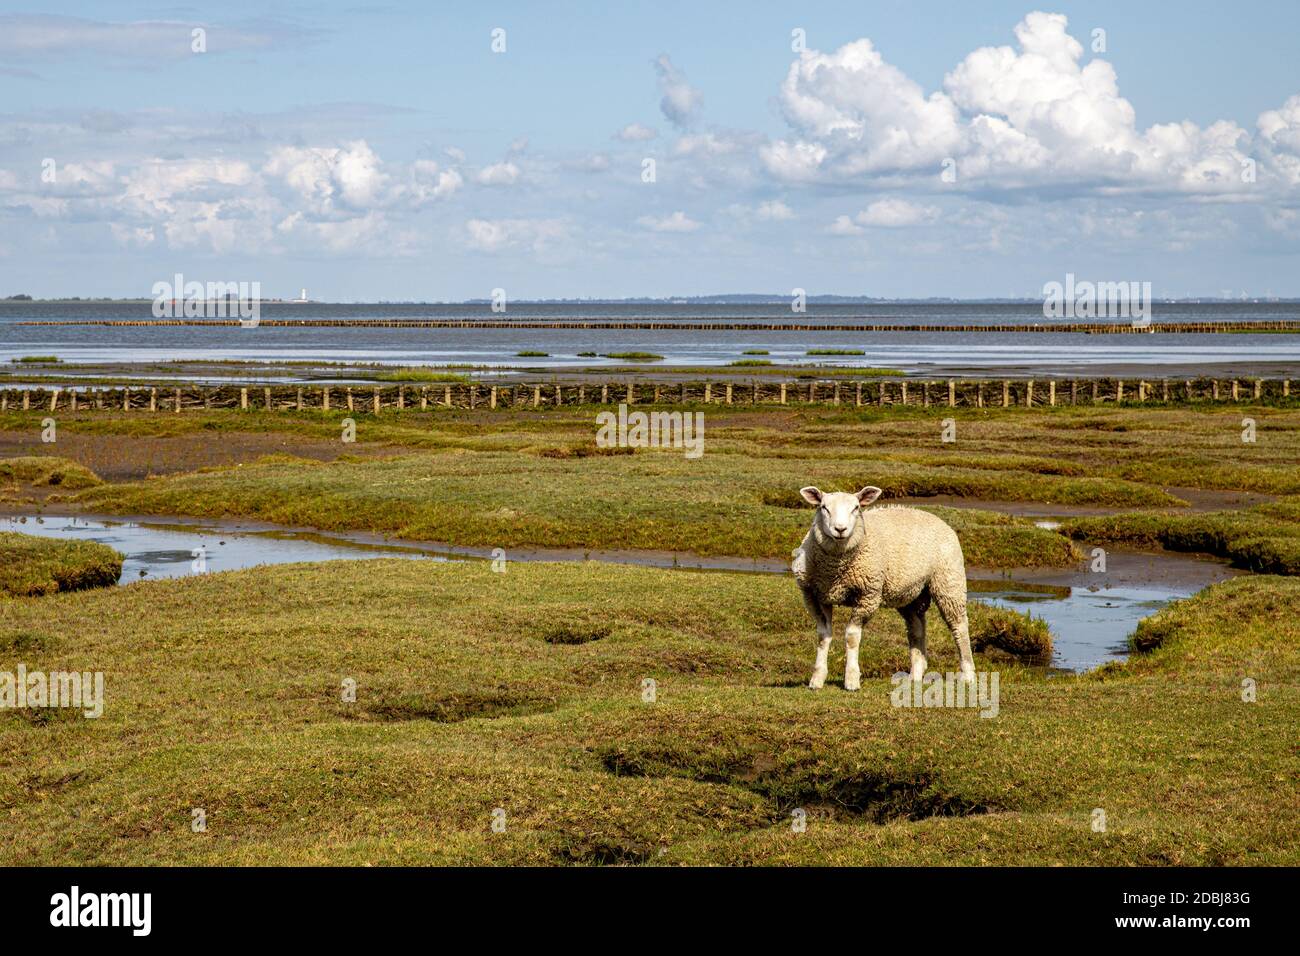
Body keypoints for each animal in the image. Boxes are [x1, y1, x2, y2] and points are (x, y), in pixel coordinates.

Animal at [792, 485, 974, 691]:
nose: (840, 529)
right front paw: (817, 679)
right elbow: (823, 636)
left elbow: (852, 636)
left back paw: (968, 674)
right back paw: (916, 674)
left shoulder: (868, 595)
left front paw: (852, 679)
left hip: (949, 581)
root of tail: (936, 518)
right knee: (917, 628)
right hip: (911, 594)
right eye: (824, 507)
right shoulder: (815, 596)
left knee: (959, 627)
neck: (834, 572)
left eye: (856, 508)